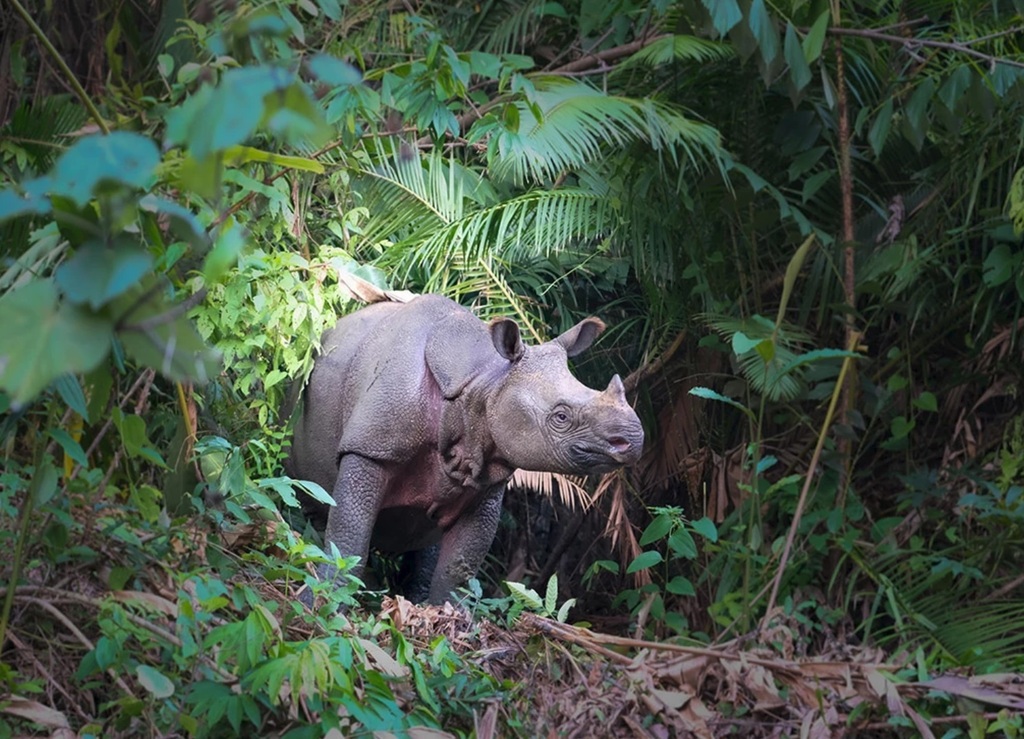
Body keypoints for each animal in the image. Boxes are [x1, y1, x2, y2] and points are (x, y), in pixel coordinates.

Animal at [286, 294, 643, 605]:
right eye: (561, 417)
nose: (634, 439)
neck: (483, 383)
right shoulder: (370, 446)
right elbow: (348, 537)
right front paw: (320, 602)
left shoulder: (485, 478)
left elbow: (458, 568)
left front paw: (447, 619)